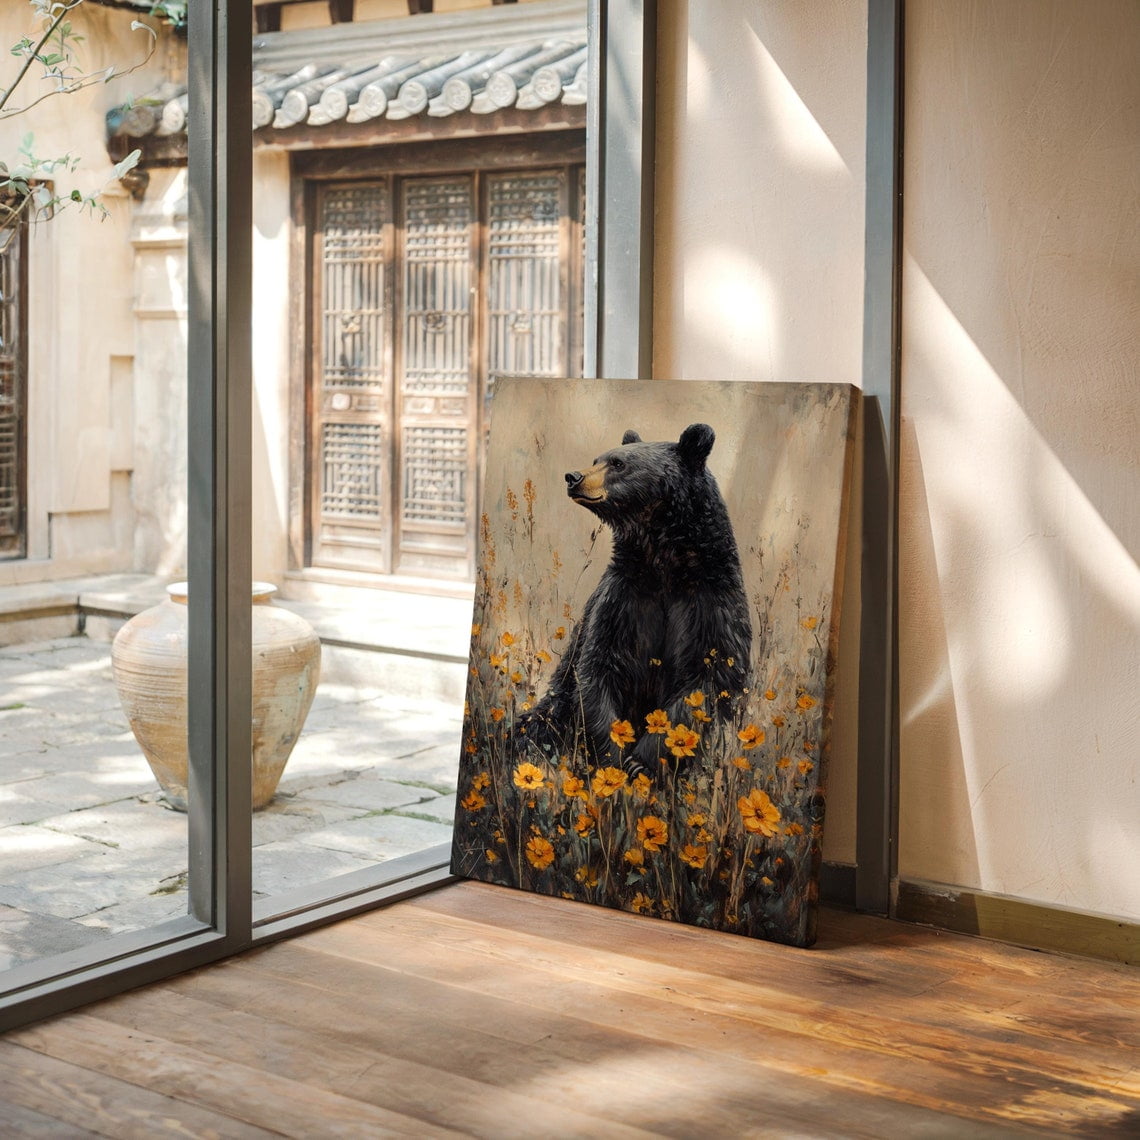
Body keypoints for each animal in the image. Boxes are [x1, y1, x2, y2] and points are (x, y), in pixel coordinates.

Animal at [517, 422, 752, 774]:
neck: (663, 560)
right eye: (597, 458)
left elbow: (709, 677)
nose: (573, 476)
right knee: (534, 726)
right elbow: (599, 666)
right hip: (555, 708)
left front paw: (643, 761)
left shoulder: (711, 602)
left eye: (618, 463)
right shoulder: (626, 599)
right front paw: (613, 757)